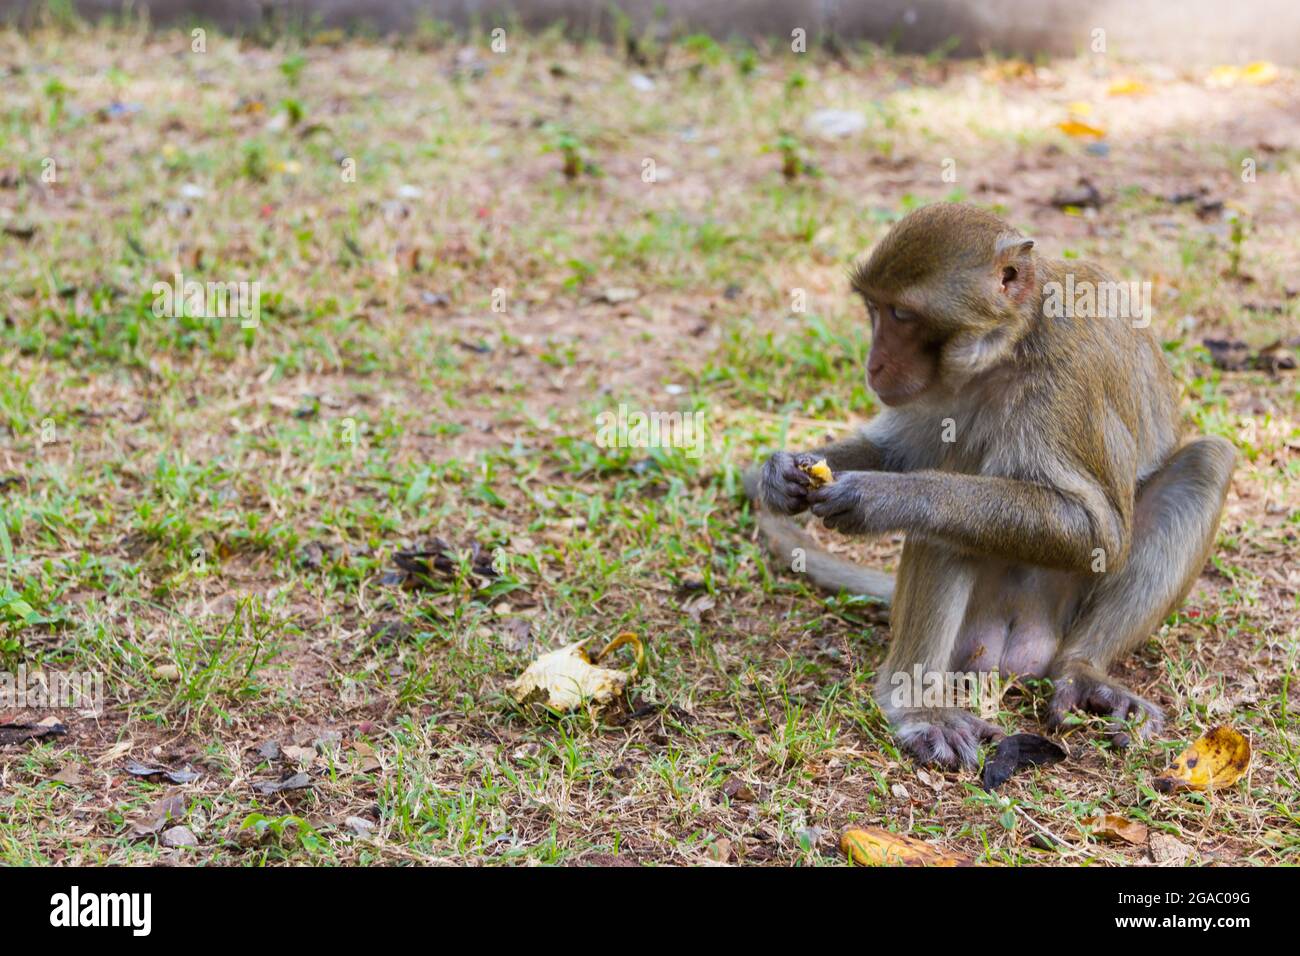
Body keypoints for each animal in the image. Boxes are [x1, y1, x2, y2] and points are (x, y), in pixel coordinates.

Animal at [746, 202, 1234, 769]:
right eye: (875, 307)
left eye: (902, 315)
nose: (874, 364)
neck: (1010, 345)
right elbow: (897, 452)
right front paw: (780, 474)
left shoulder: (1069, 373)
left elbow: (1098, 531)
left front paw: (879, 497)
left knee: (1204, 462)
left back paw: (1066, 670)